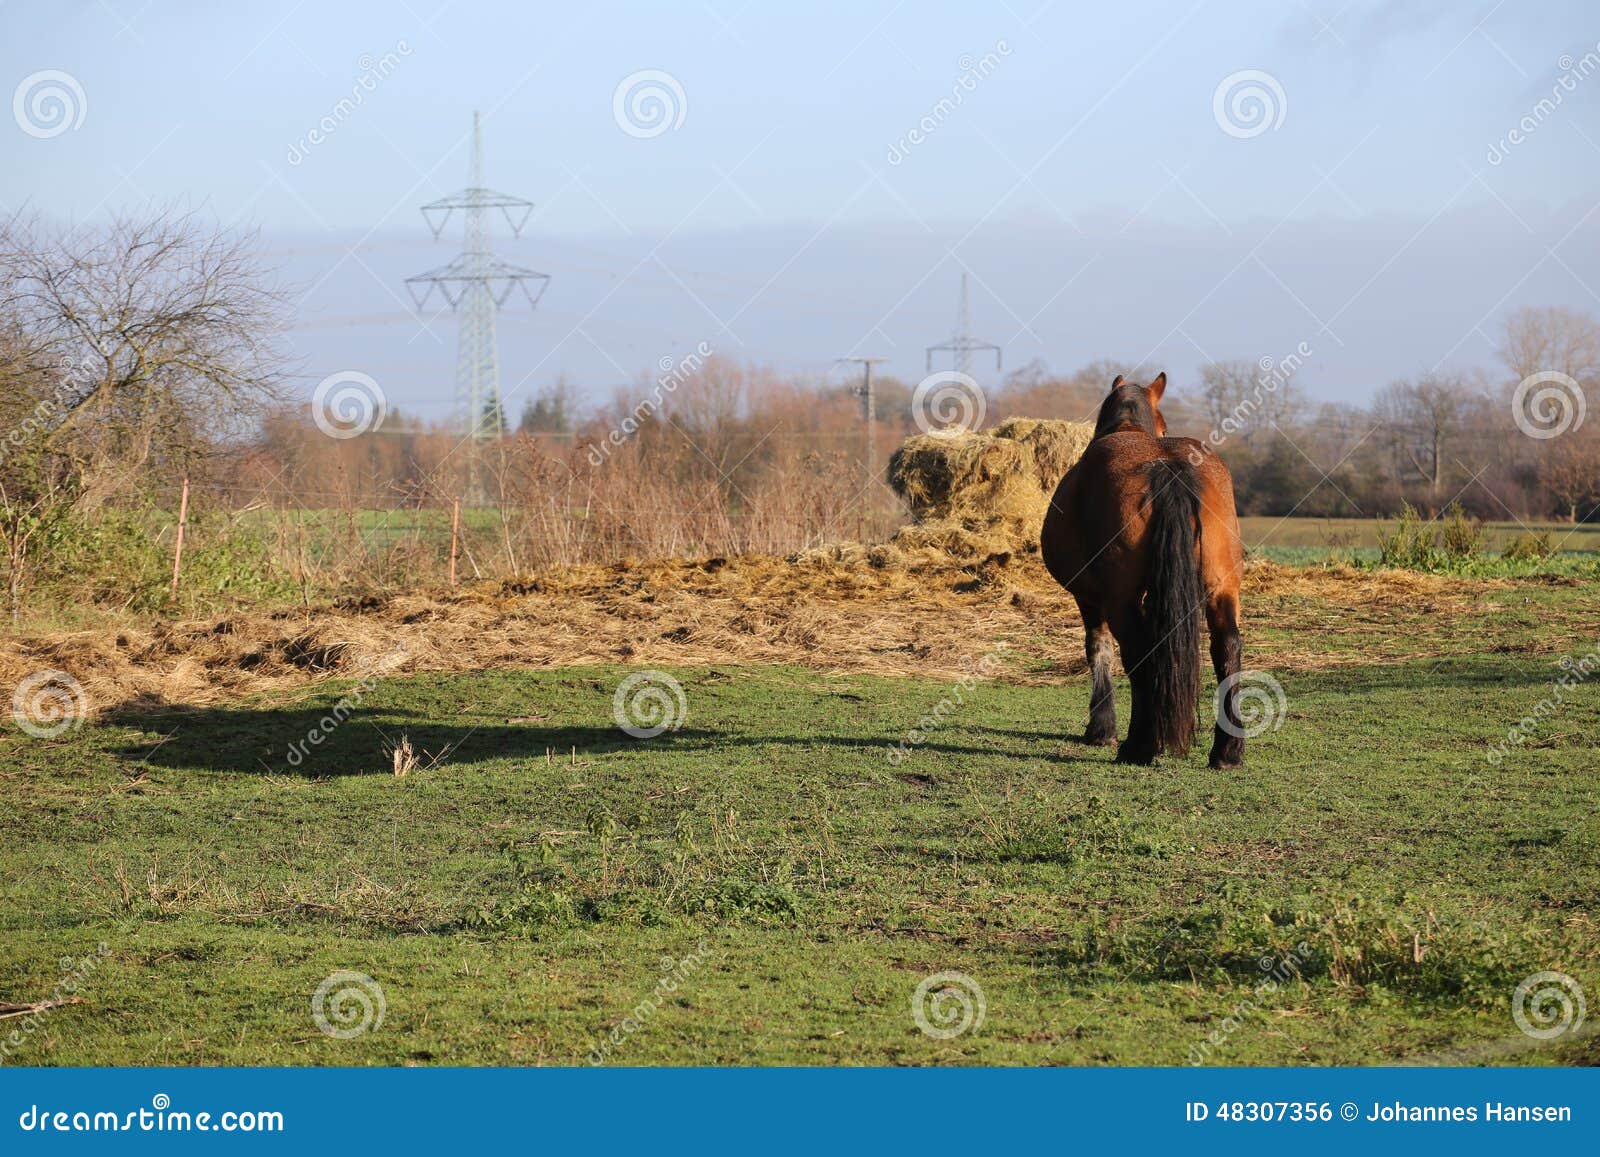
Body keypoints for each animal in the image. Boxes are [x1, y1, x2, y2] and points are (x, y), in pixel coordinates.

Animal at [1040, 373, 1246, 768]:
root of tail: (1167, 466)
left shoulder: (1089, 597)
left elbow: (1098, 648)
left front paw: (1102, 728)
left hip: (1120, 598)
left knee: (1136, 653)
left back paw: (1139, 745)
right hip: (1221, 589)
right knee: (1227, 648)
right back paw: (1226, 751)